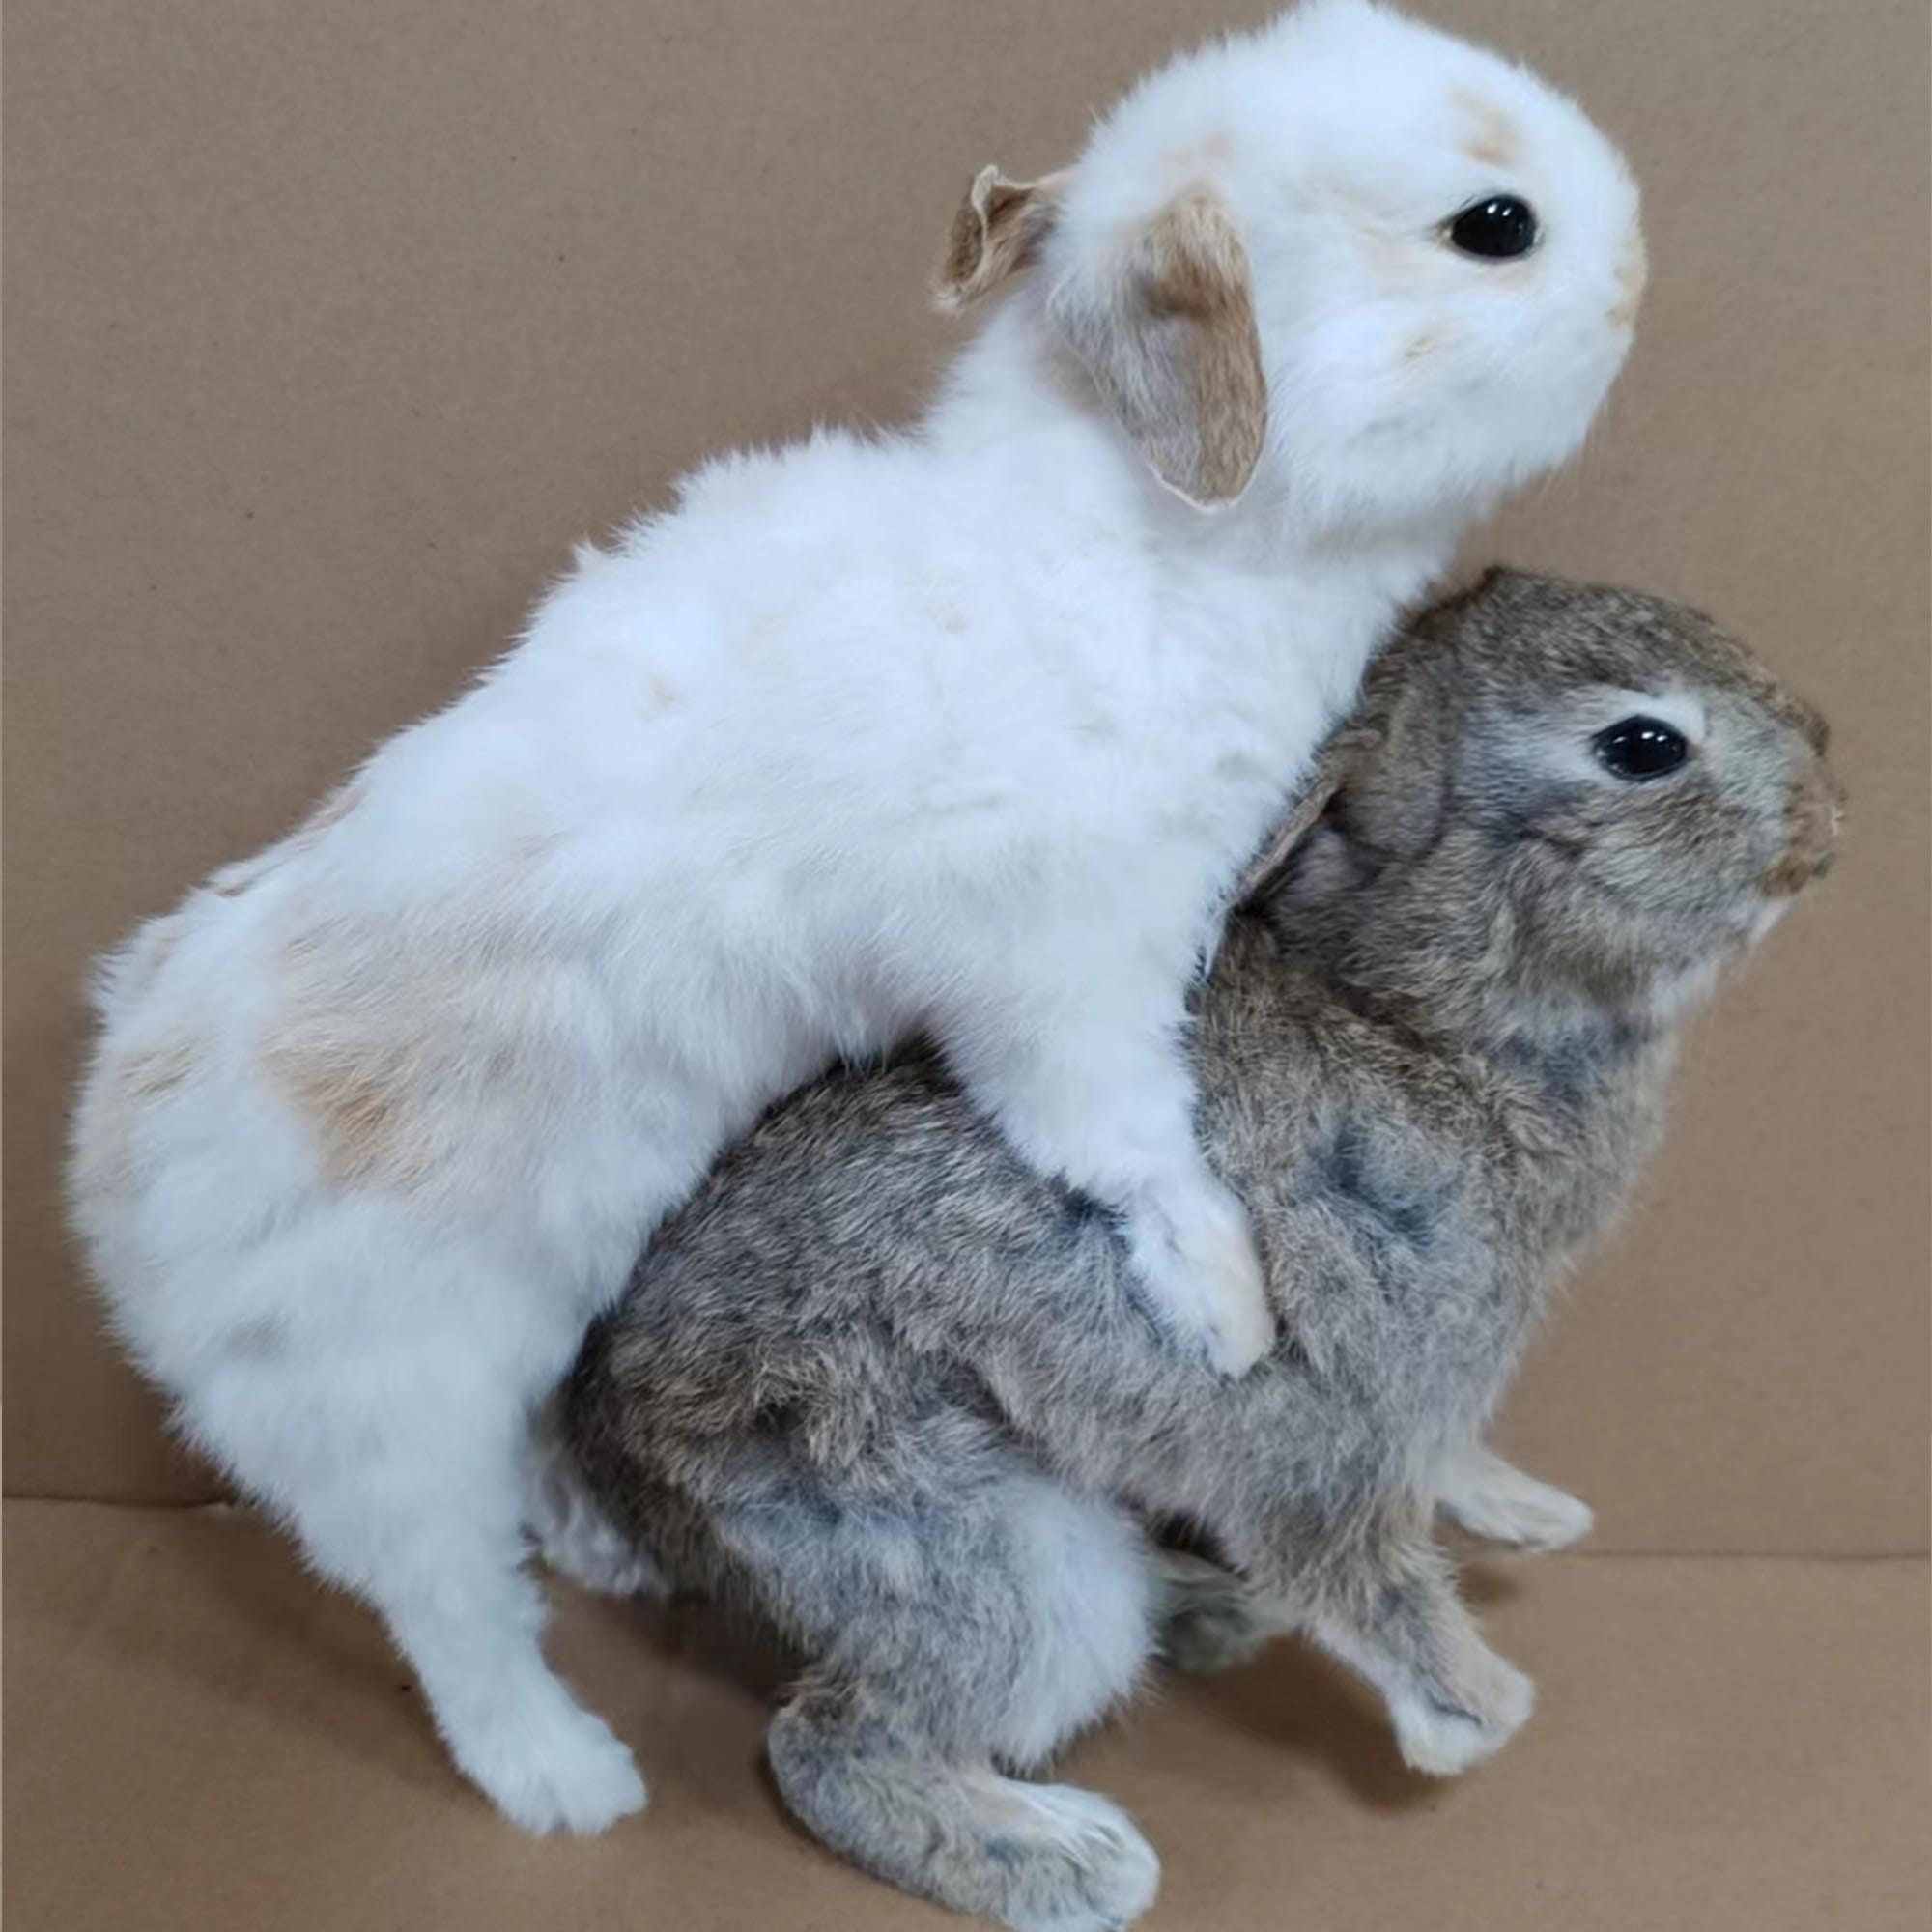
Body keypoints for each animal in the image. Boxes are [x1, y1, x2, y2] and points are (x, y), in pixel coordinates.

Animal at [68, 1, 1643, 1833]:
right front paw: (1230, 1309)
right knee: (445, 1603)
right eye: (1494, 226)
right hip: (388, 1411)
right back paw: (567, 1778)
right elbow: (1125, 1141)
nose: (1641, 266)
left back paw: (613, 1555)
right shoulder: (1064, 969)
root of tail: (113, 1144)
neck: (1149, 557)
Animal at [564, 569, 1843, 1932]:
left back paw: (1213, 1611)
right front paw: (1476, 1713)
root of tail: (613, 1455)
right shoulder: (1335, 1422)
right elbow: (1366, 1574)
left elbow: (1446, 1463)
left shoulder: (1429, 1398)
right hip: (967, 1538)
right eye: (1641, 746)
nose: (1827, 815)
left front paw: (1530, 1513)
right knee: (831, 1743)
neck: (1420, 1025)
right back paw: (1074, 1858)